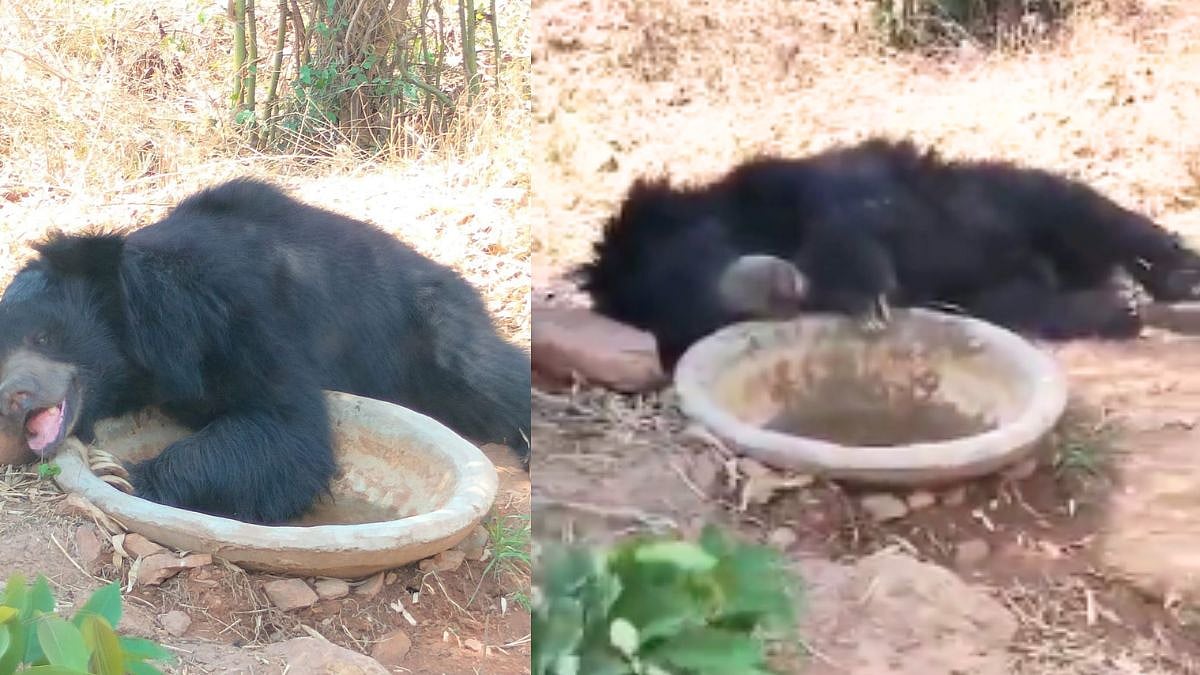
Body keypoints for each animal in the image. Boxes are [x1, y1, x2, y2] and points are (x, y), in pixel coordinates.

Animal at [0, 178, 531, 524]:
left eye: (44, 336)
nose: (13, 396)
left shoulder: (242, 320)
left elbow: (288, 429)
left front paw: (121, 475)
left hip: (430, 324)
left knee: (487, 372)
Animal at [577, 138, 1200, 370]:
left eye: (703, 249)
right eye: (706, 319)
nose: (779, 288)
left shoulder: (783, 179)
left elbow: (847, 203)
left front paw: (863, 290)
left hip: (1001, 200)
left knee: (1080, 210)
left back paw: (1175, 276)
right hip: (1002, 288)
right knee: (1028, 301)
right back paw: (1117, 306)